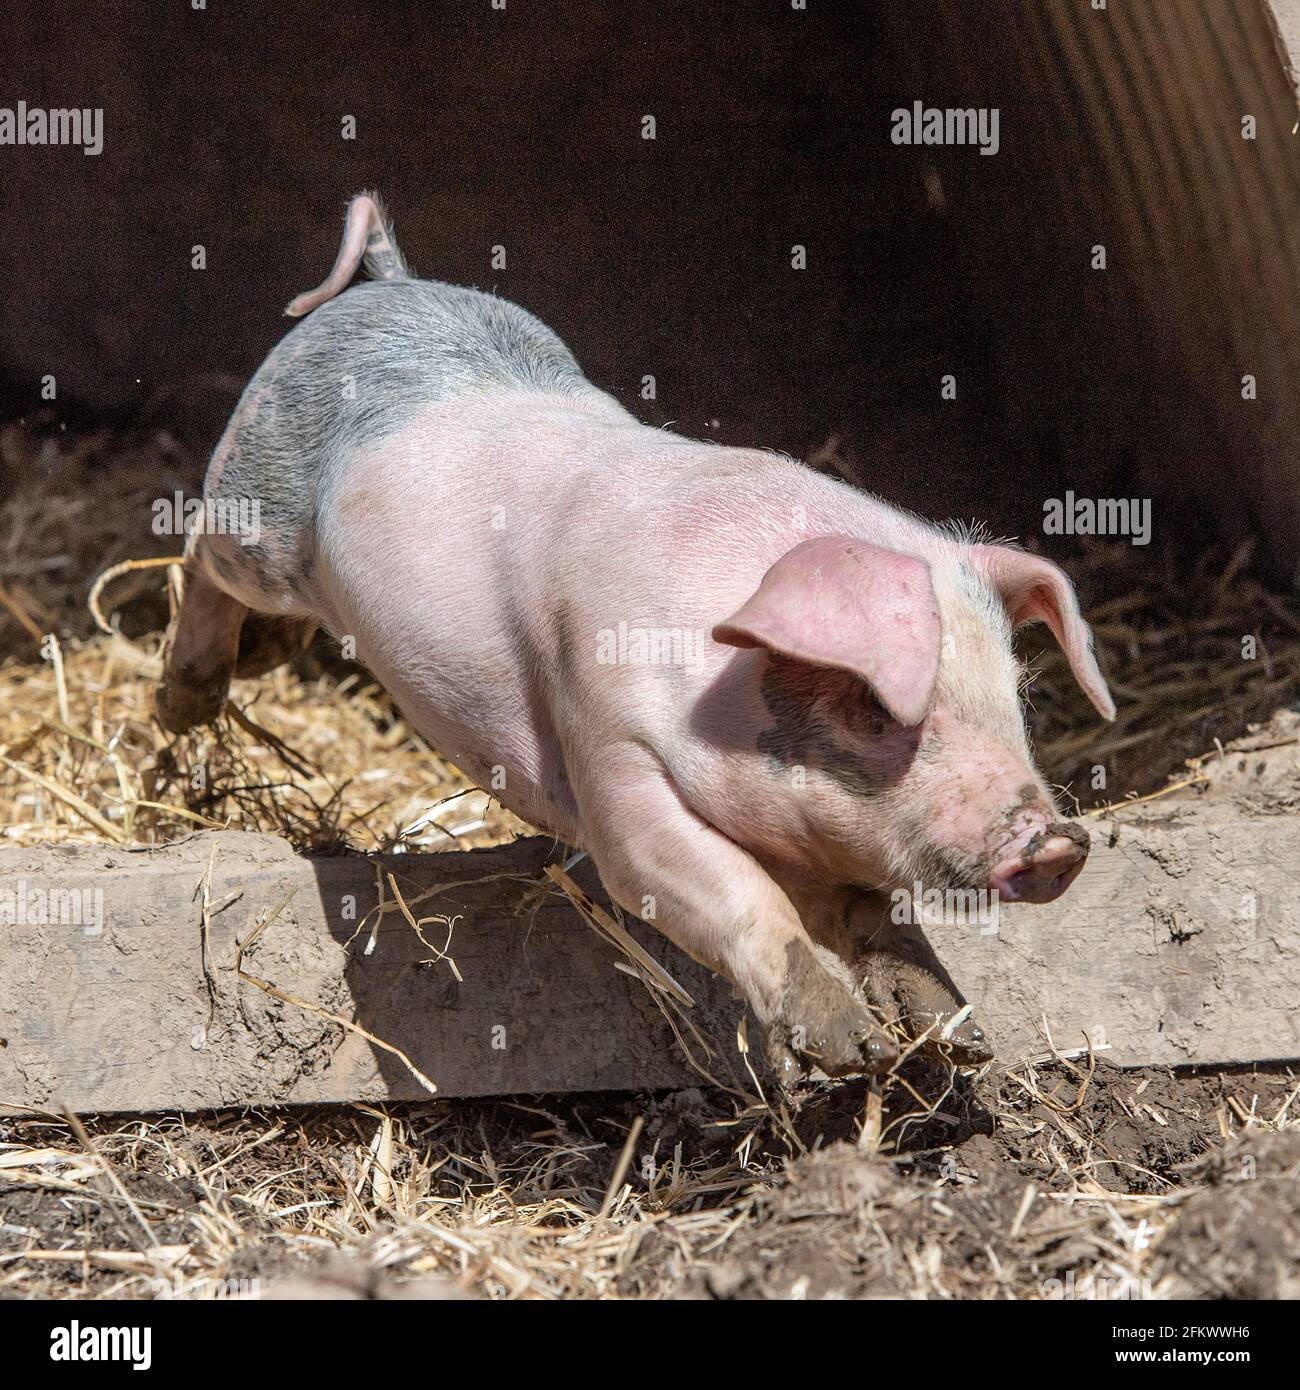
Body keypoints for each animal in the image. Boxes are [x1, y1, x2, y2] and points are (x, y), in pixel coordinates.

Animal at [157, 191, 1115, 1081]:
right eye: (875, 710)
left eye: (1015, 702)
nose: (1060, 843)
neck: (713, 680)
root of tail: (388, 286)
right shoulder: (608, 746)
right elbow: (723, 892)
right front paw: (853, 1053)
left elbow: (872, 918)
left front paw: (960, 1040)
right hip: (258, 514)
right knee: (199, 552)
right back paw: (182, 701)